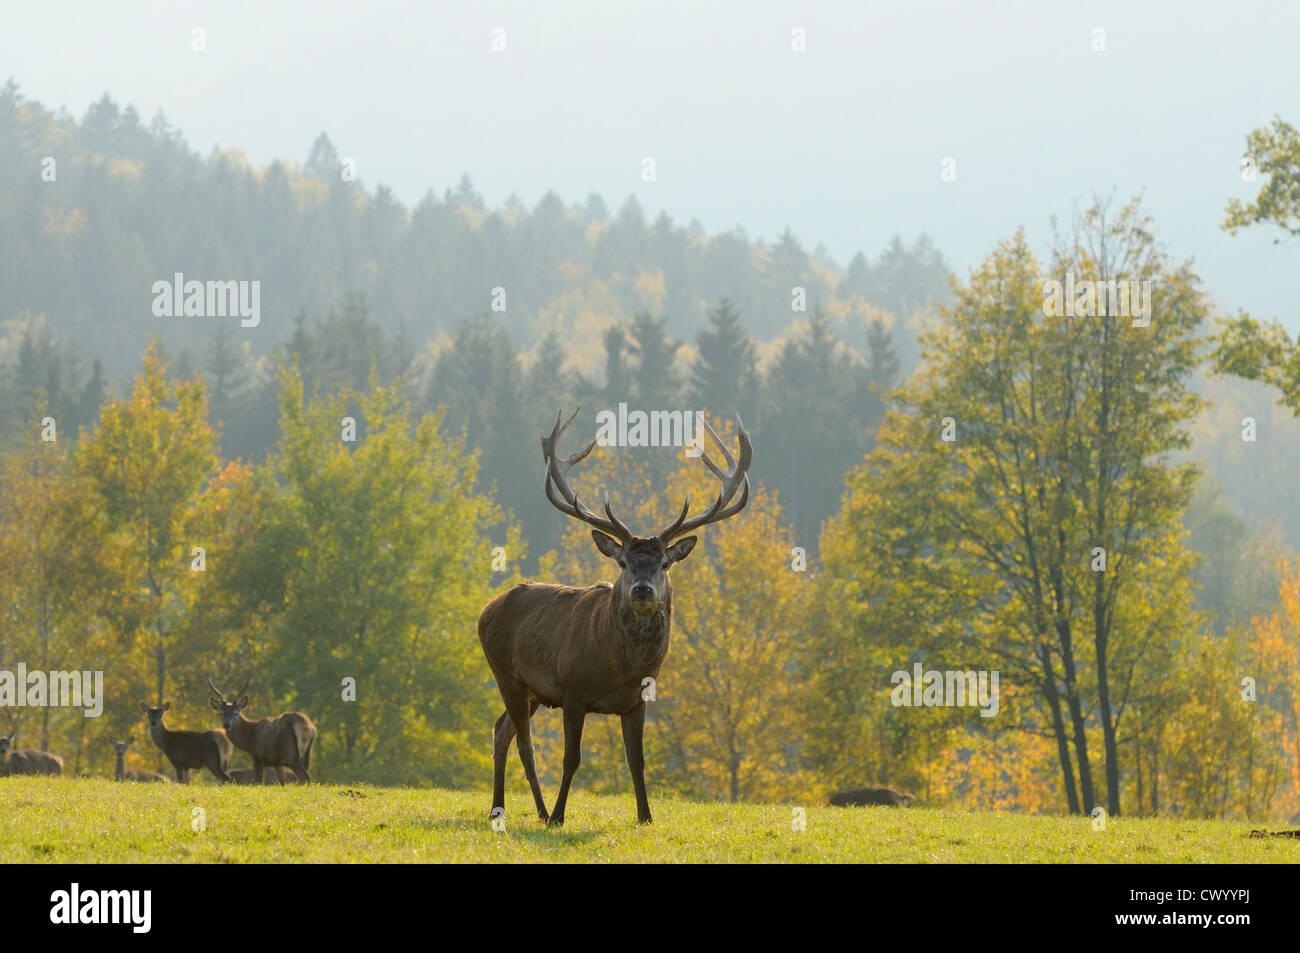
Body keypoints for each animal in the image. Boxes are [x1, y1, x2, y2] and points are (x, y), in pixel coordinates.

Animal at [478, 407, 752, 827]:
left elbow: (636, 760)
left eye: (664, 564)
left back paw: (506, 810)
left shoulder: (638, 699)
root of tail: (486, 608)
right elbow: (571, 759)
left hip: (533, 691)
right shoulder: (572, 692)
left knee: (501, 730)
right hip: (505, 672)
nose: (642, 590)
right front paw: (559, 816)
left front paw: (646, 815)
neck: (618, 667)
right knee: (524, 742)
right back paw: (535, 811)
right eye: (622, 562)